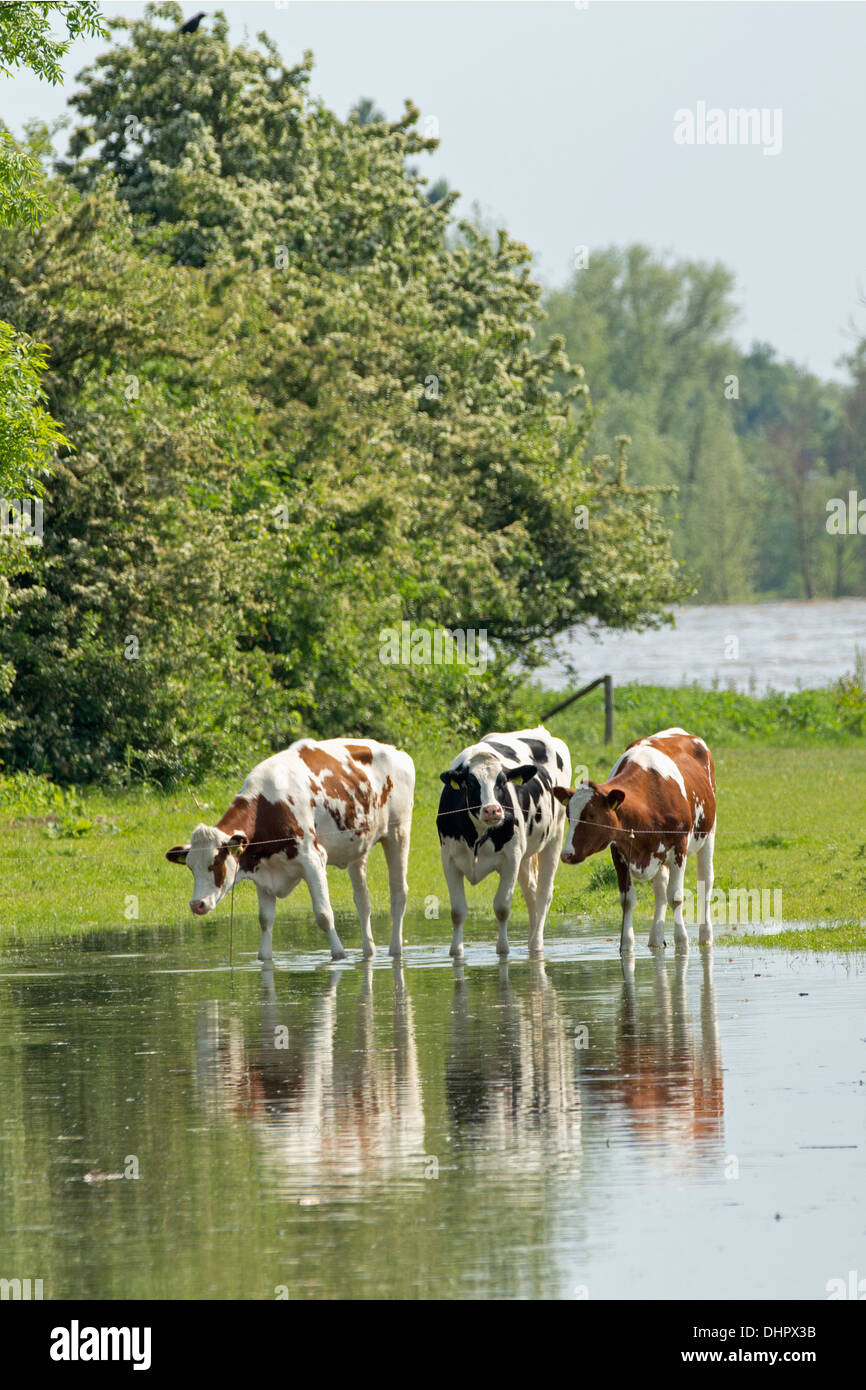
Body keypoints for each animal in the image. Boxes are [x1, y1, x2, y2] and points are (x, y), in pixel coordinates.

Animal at [166, 739, 415, 962]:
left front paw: (339, 955)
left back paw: (395, 951)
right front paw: (265, 959)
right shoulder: (262, 870)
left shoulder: (313, 859)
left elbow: (324, 915)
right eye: (190, 867)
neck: (268, 807)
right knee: (363, 900)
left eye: (215, 862)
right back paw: (369, 952)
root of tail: (397, 751)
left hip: (398, 832)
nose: (196, 904)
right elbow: (265, 920)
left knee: (398, 893)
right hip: (356, 847)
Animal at [437, 726, 571, 958]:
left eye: (501, 782)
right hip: (526, 854)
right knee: (531, 893)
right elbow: (457, 911)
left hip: (554, 836)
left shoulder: (511, 860)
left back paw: (536, 944)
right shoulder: (449, 860)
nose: (492, 810)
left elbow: (501, 907)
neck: (477, 835)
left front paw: (503, 950)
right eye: (471, 783)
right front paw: (456, 952)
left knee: (544, 893)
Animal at [553, 727, 716, 954]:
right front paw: (626, 946)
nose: (567, 854)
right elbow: (628, 900)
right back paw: (656, 939)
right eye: (569, 814)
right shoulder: (619, 851)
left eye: (591, 815)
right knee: (660, 890)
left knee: (705, 883)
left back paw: (705, 936)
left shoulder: (679, 848)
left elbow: (675, 897)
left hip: (708, 834)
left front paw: (682, 942)